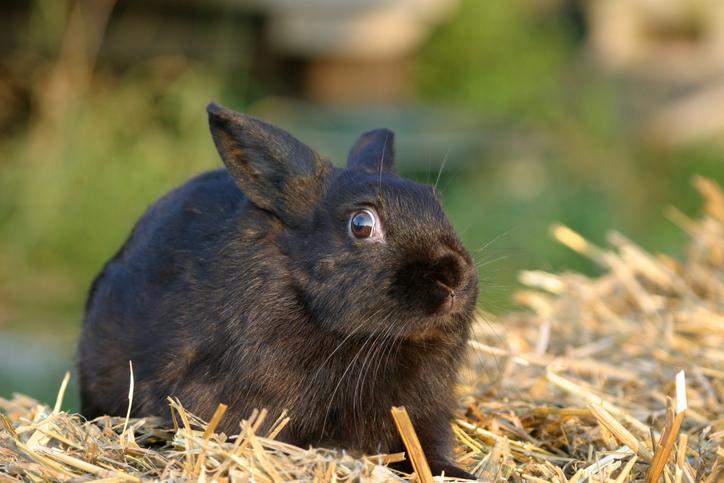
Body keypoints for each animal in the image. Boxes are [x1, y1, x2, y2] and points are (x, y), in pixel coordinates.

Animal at [78, 102, 478, 479]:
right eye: (361, 224)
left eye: (436, 202)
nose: (452, 277)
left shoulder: (425, 414)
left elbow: (428, 451)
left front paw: (461, 474)